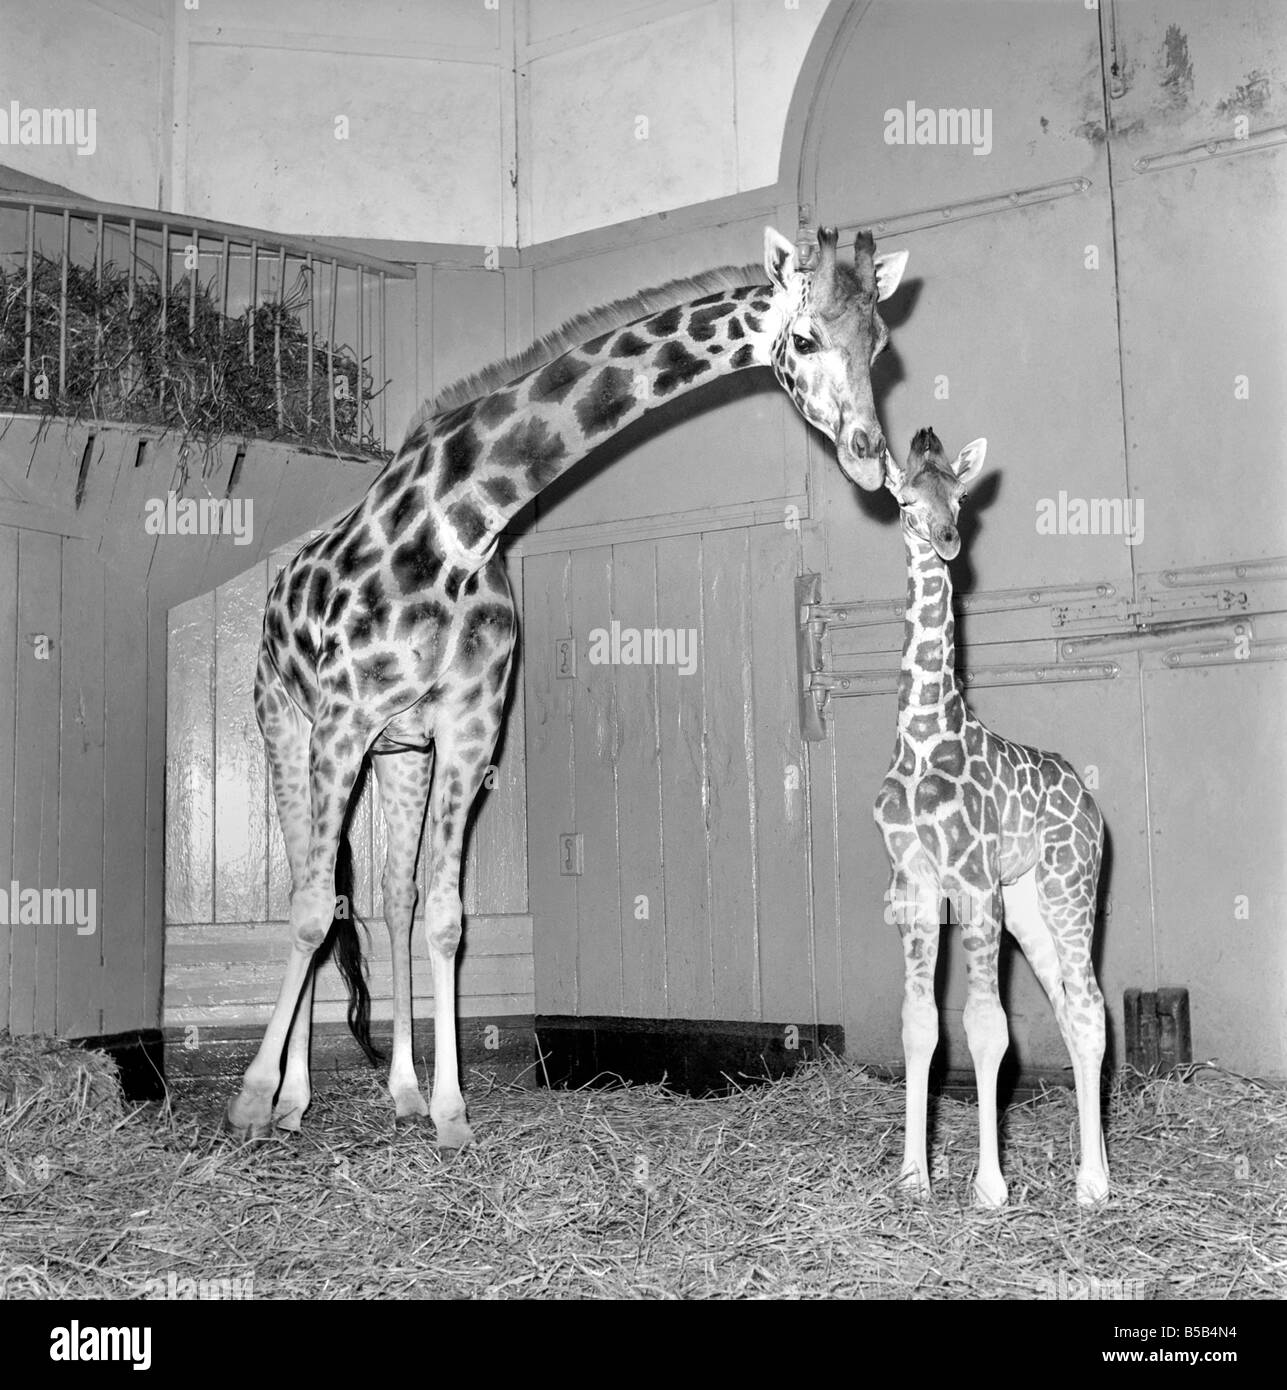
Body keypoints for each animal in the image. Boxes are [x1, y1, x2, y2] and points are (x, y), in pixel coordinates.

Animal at [225, 226, 910, 1142]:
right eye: (802, 339)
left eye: (879, 344)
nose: (871, 464)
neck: (465, 524)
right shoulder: (340, 720)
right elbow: (307, 909)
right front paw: (253, 1098)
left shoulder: (467, 728)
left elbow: (444, 916)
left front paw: (449, 1113)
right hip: (285, 722)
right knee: (310, 885)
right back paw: (292, 1099)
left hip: (399, 752)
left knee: (391, 897)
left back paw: (399, 1091)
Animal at [873, 427, 1110, 1207]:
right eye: (904, 501)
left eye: (961, 499)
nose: (946, 540)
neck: (922, 737)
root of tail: (1089, 800)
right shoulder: (912, 885)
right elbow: (920, 1024)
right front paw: (913, 1178)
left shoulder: (972, 882)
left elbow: (985, 1027)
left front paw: (989, 1186)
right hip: (1028, 902)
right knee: (1069, 1008)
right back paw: (1092, 1168)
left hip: (1070, 888)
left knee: (1091, 1008)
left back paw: (1093, 1186)